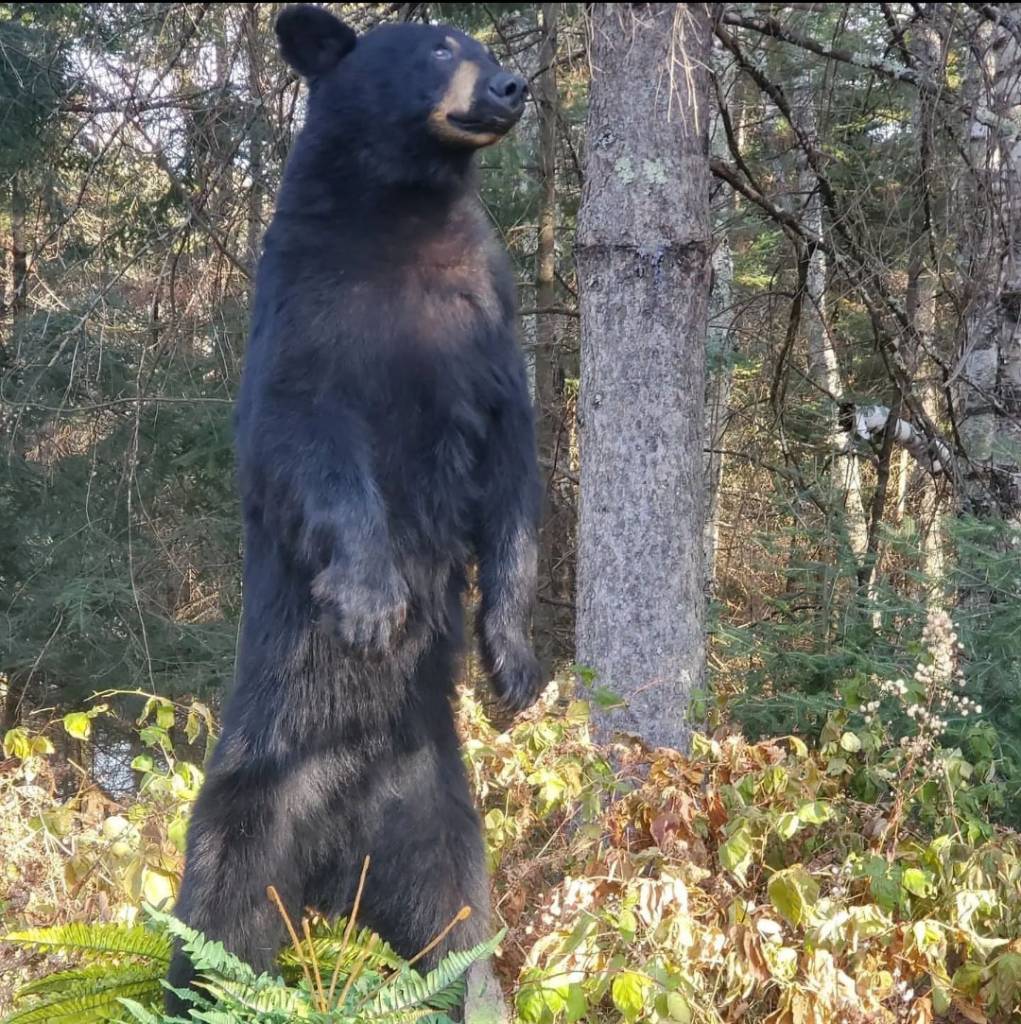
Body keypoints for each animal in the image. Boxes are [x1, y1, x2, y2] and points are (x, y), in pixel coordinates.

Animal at [166, 4, 542, 1014]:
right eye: (438, 49)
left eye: (484, 46)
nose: (514, 85)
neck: (406, 212)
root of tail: (337, 872)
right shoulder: (308, 306)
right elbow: (308, 442)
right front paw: (372, 604)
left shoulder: (485, 324)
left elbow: (515, 474)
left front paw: (513, 656)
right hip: (242, 823)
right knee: (211, 936)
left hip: (439, 824)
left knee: (461, 928)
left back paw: (480, 994)